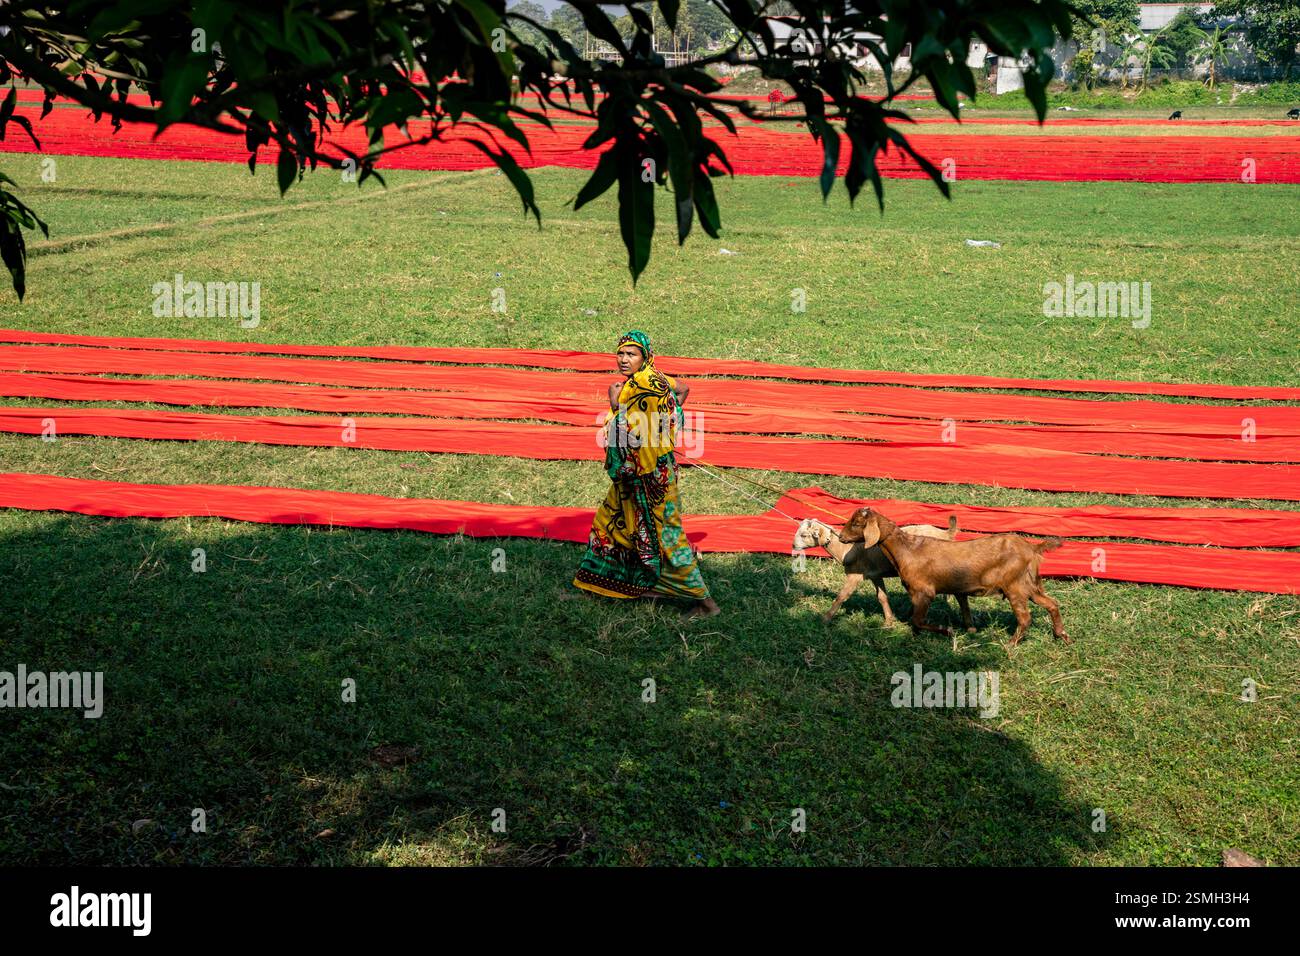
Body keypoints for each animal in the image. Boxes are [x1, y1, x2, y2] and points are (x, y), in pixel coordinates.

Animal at [793, 514, 957, 626]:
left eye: (804, 535)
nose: (794, 546)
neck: (844, 549)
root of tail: (945, 533)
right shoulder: (875, 575)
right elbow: (882, 597)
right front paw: (889, 621)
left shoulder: (855, 575)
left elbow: (842, 596)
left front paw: (825, 619)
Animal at [838, 507, 1071, 647]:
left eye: (856, 523)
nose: (841, 537)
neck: (907, 549)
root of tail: (1032, 548)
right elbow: (916, 621)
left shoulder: (924, 591)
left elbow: (918, 619)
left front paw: (947, 630)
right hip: (1030, 585)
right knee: (1051, 604)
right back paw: (1062, 635)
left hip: (1015, 586)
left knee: (1025, 618)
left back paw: (1010, 644)